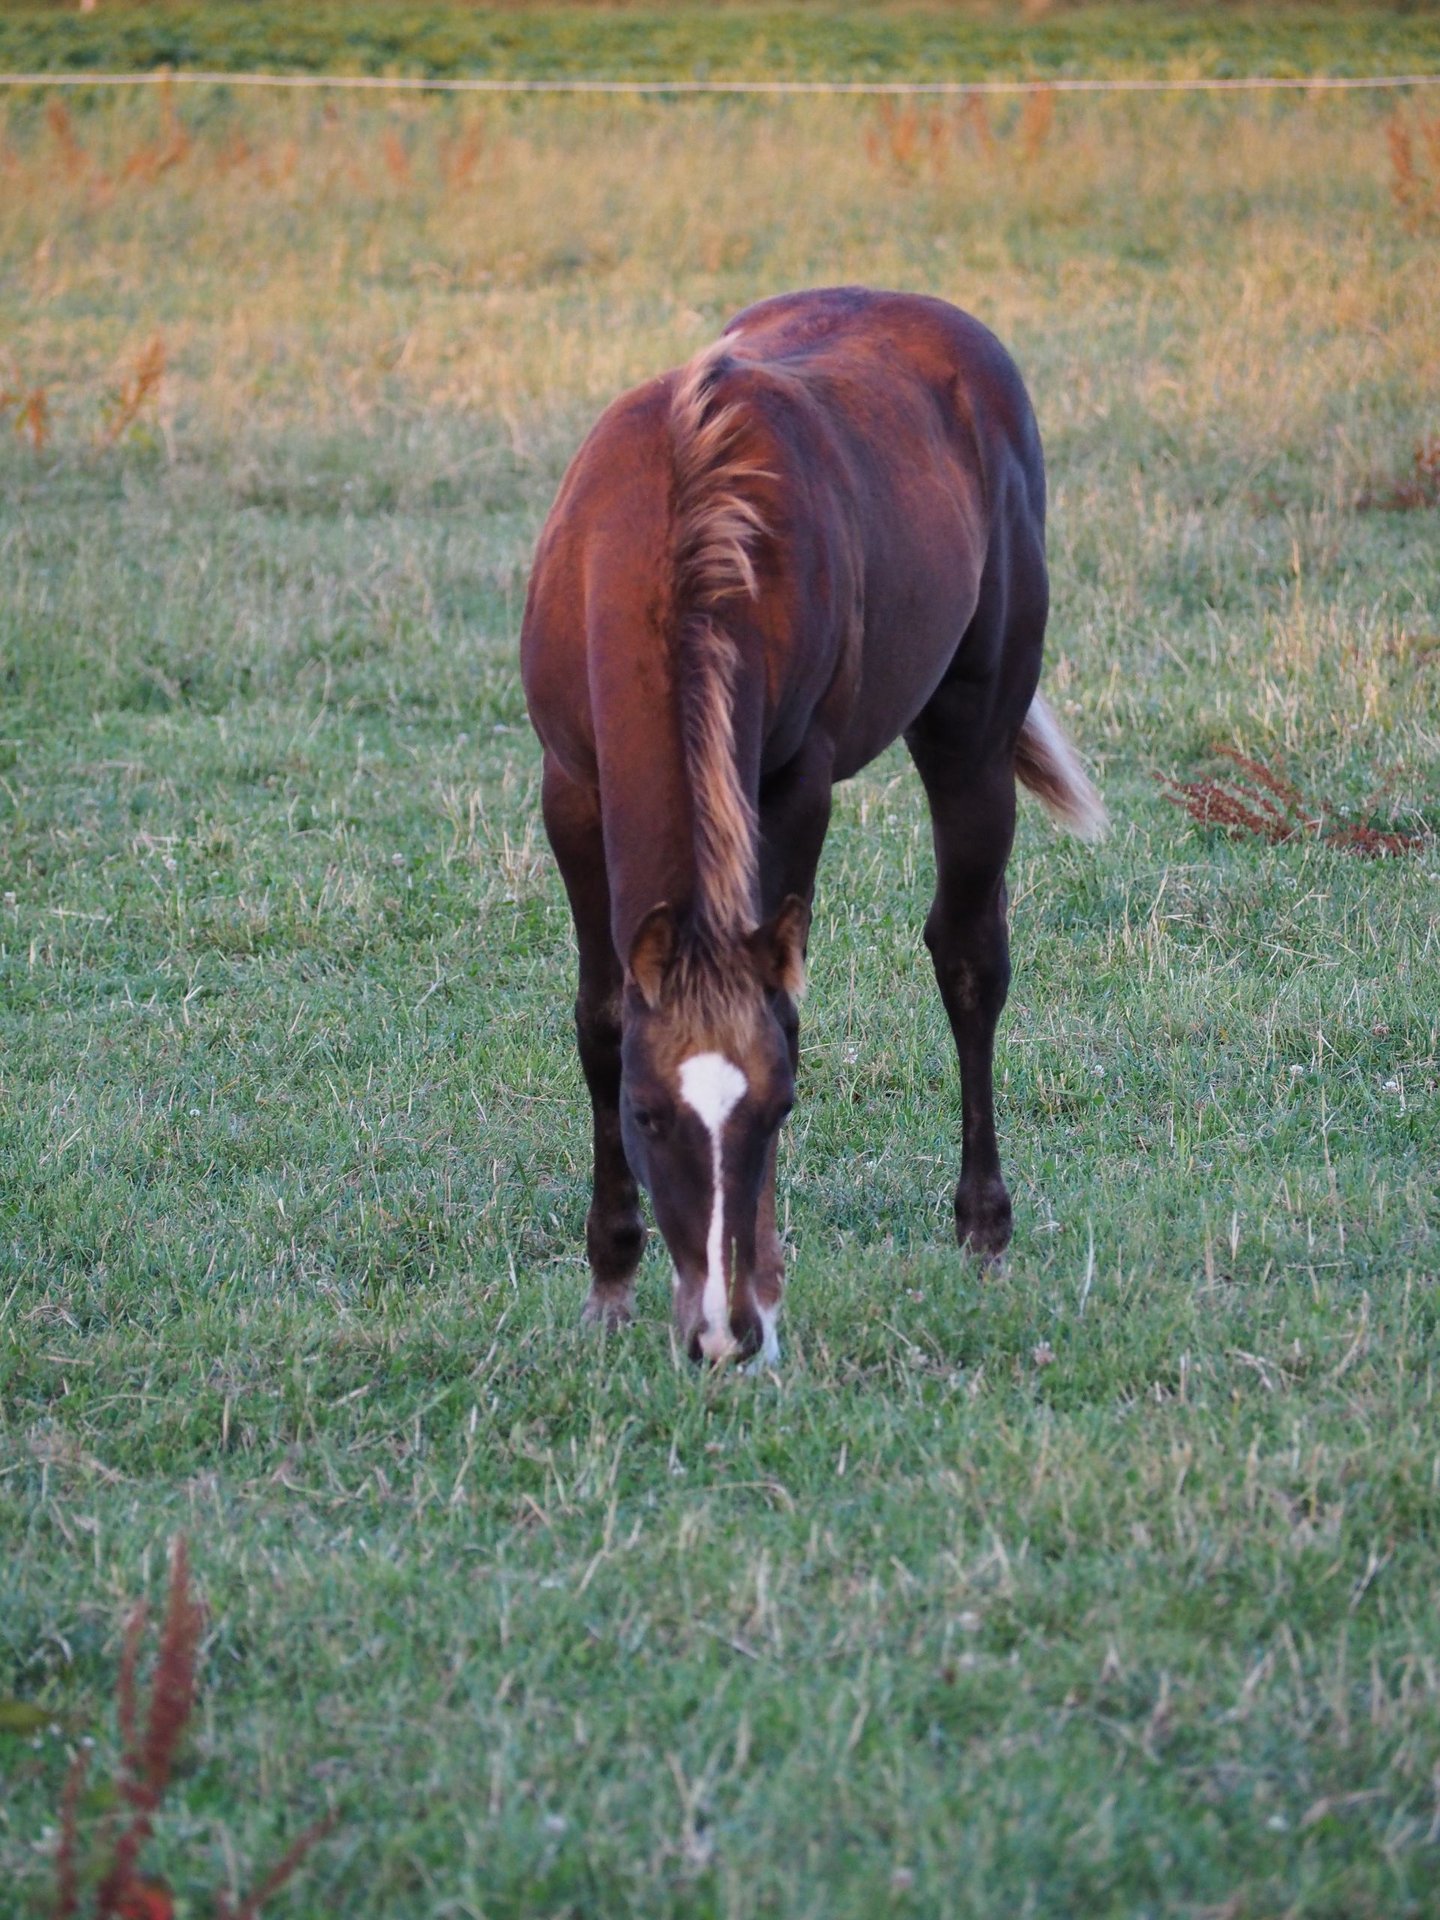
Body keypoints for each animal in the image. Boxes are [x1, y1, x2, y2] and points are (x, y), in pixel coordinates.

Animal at [520, 286, 1104, 1366]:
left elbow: (785, 1010)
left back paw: (984, 1233)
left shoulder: (795, 784)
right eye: (645, 1114)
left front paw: (761, 1280)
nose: (719, 1334)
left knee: (971, 956)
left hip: (972, 725)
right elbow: (601, 1015)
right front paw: (609, 1280)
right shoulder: (570, 787)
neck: (672, 531)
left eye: (780, 1106)